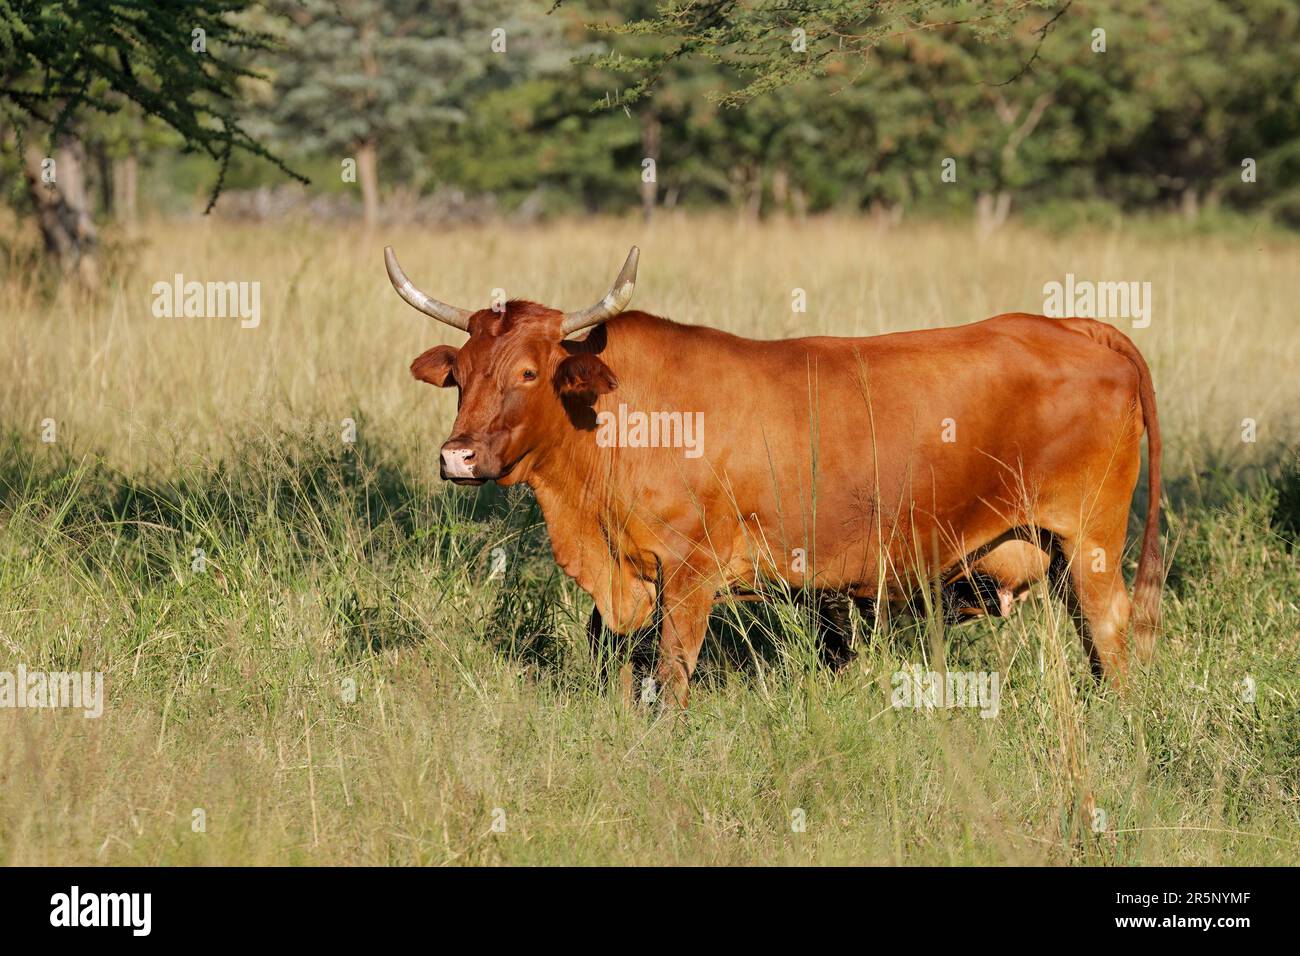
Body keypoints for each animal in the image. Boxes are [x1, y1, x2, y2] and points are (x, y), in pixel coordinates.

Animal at [386, 245, 1162, 707]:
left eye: (527, 372)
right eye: (460, 374)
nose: (457, 457)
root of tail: (1072, 326)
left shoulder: (689, 574)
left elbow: (672, 673)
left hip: (1092, 541)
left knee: (1111, 633)